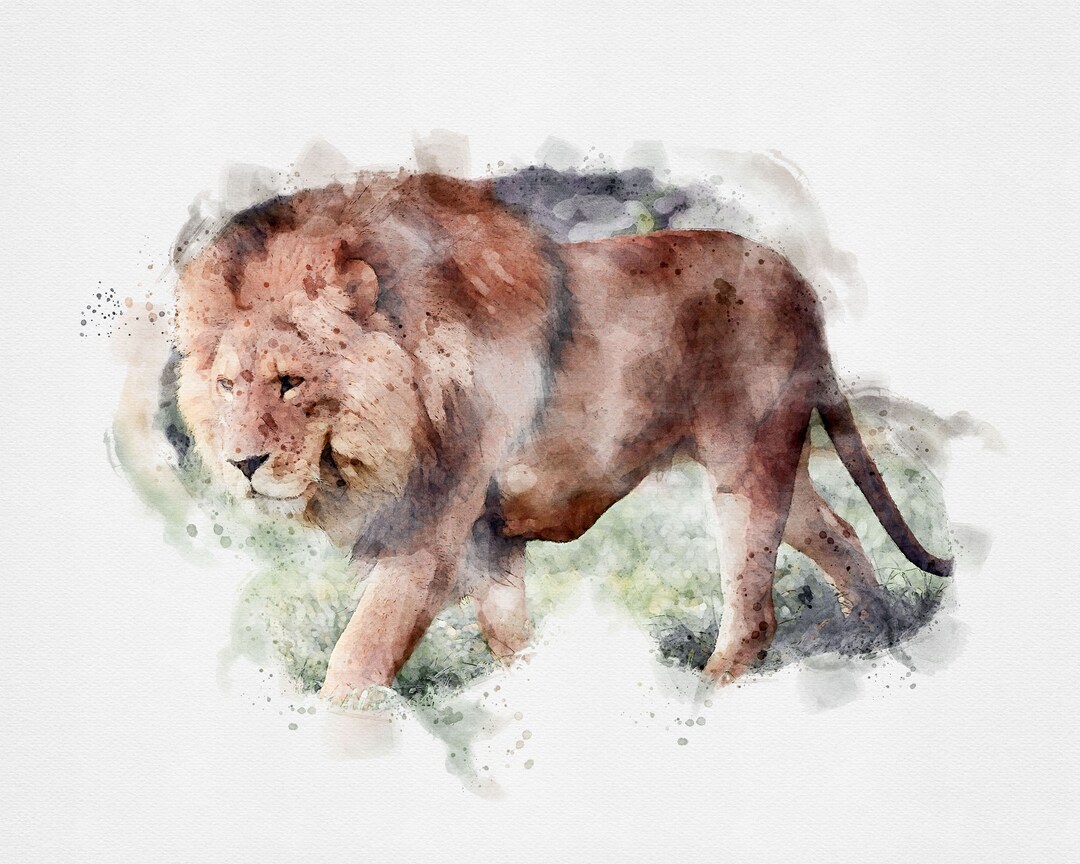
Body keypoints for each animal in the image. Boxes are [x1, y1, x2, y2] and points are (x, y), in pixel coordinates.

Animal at [173, 171, 952, 699]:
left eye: (290, 383)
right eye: (228, 386)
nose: (243, 463)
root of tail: (798, 279)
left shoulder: (431, 532)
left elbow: (357, 658)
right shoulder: (488, 537)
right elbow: (509, 637)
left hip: (747, 463)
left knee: (756, 611)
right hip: (767, 462)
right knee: (839, 532)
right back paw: (877, 643)